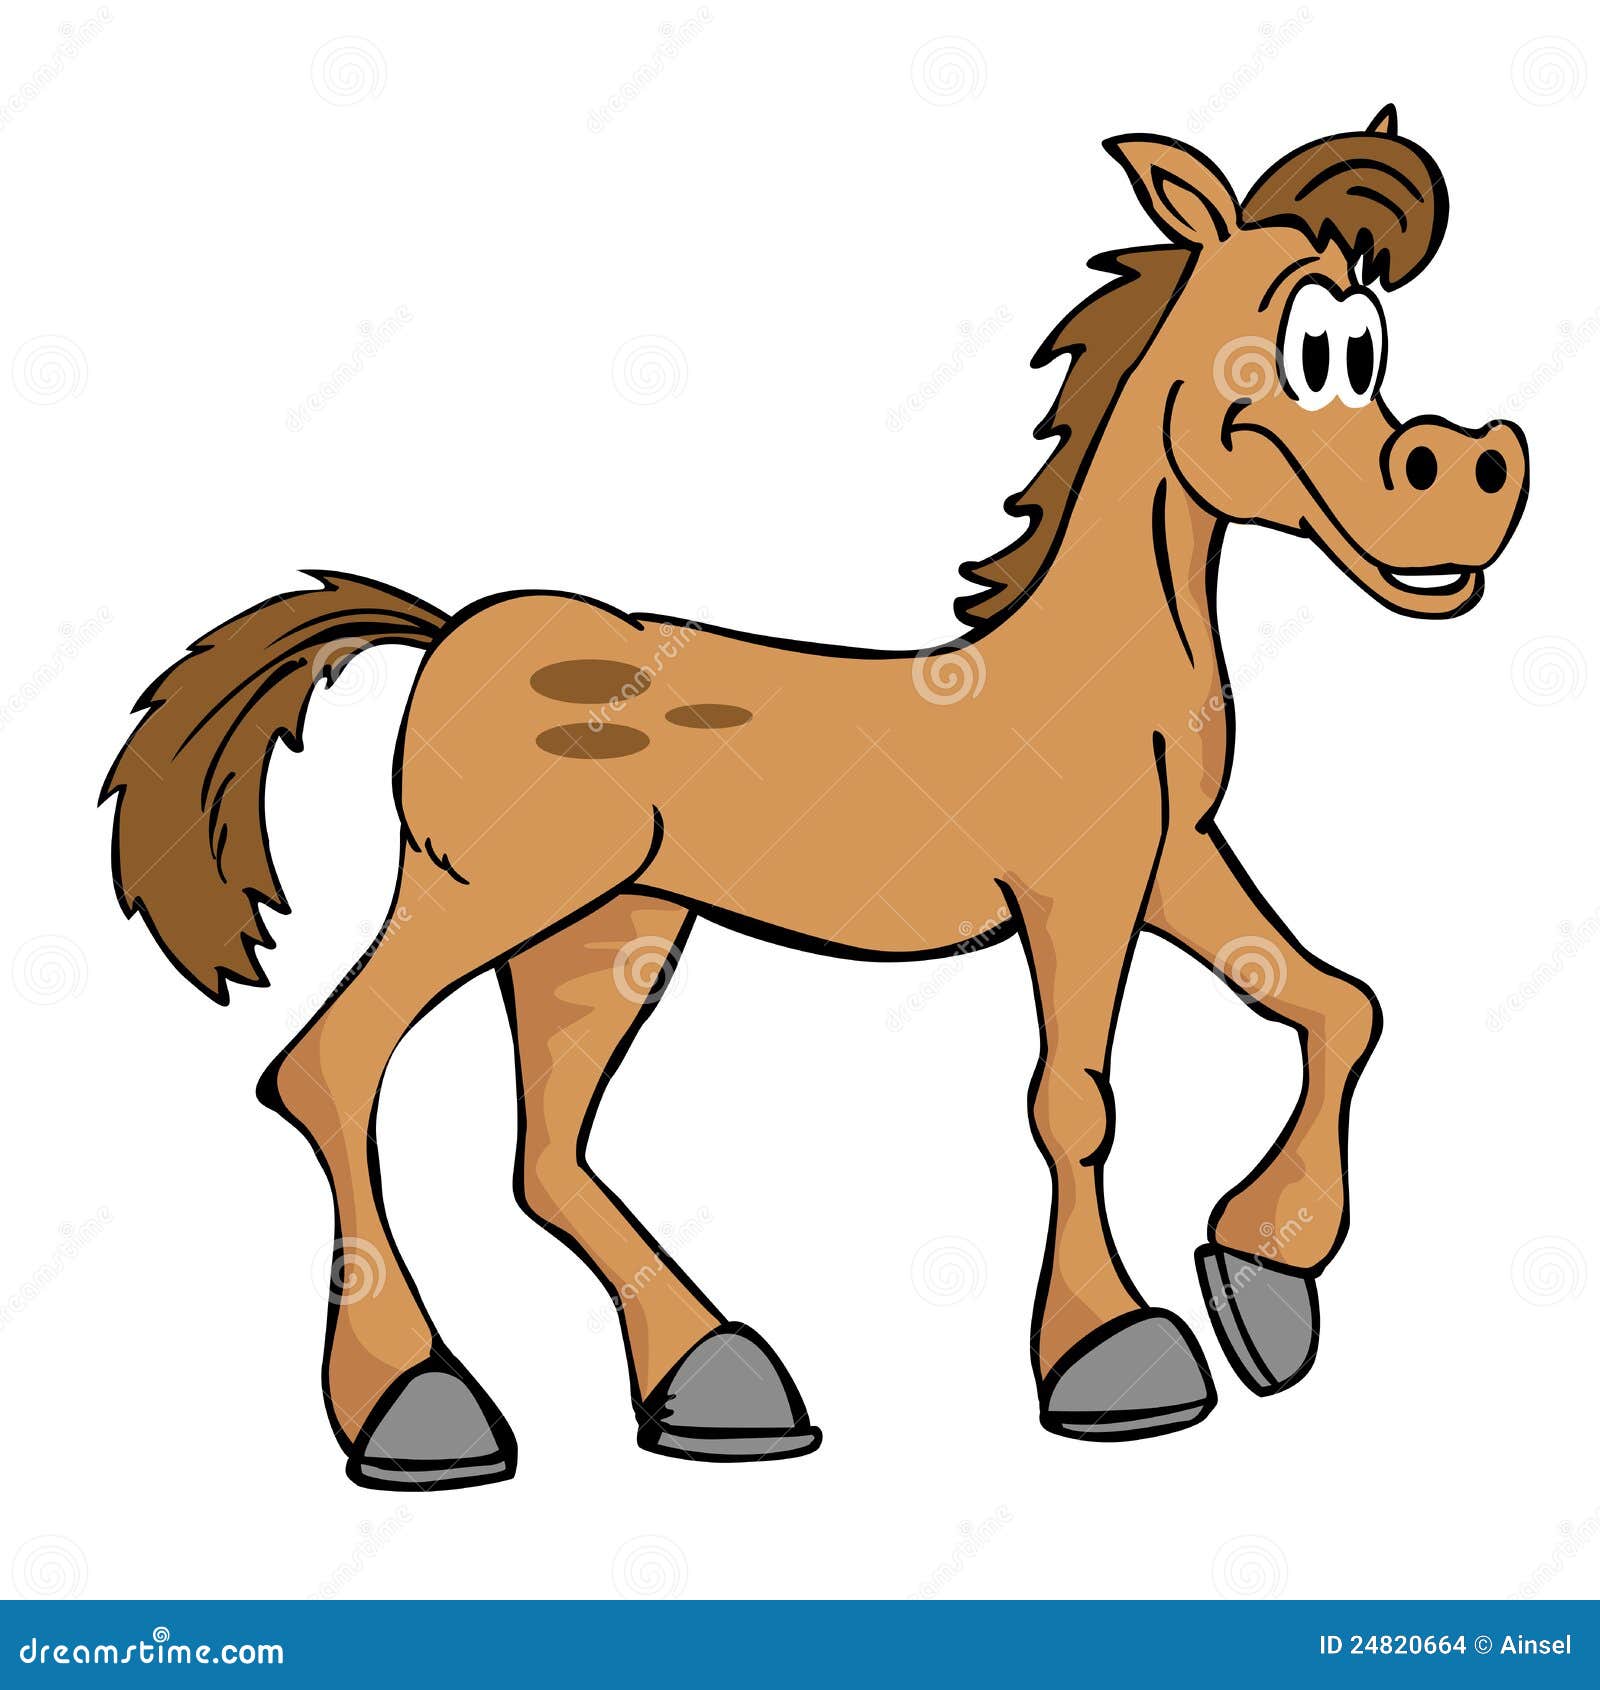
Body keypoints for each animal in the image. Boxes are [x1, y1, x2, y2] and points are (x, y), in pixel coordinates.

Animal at [102, 109, 1528, 1489]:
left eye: (1369, 348)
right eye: (1321, 350)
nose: (1471, 478)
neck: (1096, 667)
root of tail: (447, 627)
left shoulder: (1167, 862)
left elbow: (1338, 1003)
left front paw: (1264, 1281)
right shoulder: (1075, 886)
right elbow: (1075, 1101)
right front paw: (1114, 1356)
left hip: (608, 929)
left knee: (544, 1155)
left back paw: (717, 1384)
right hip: (493, 890)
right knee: (330, 1068)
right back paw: (418, 1409)